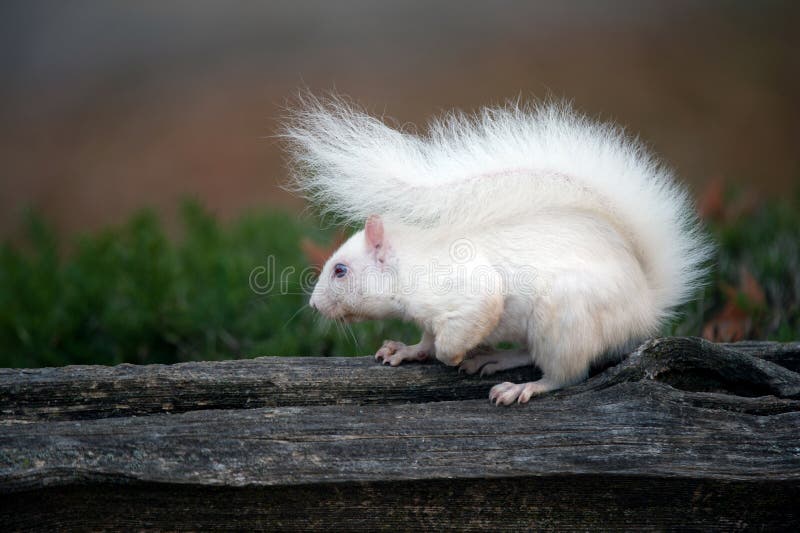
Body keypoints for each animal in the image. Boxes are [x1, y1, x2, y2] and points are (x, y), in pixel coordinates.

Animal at [283, 95, 711, 405]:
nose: (314, 305)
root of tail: (645, 305)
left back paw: (522, 385)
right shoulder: (428, 315)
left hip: (564, 316)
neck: (413, 262)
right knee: (531, 354)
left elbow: (459, 332)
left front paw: (456, 355)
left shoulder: (466, 291)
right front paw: (406, 350)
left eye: (340, 270)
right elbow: (427, 339)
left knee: (566, 373)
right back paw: (500, 358)